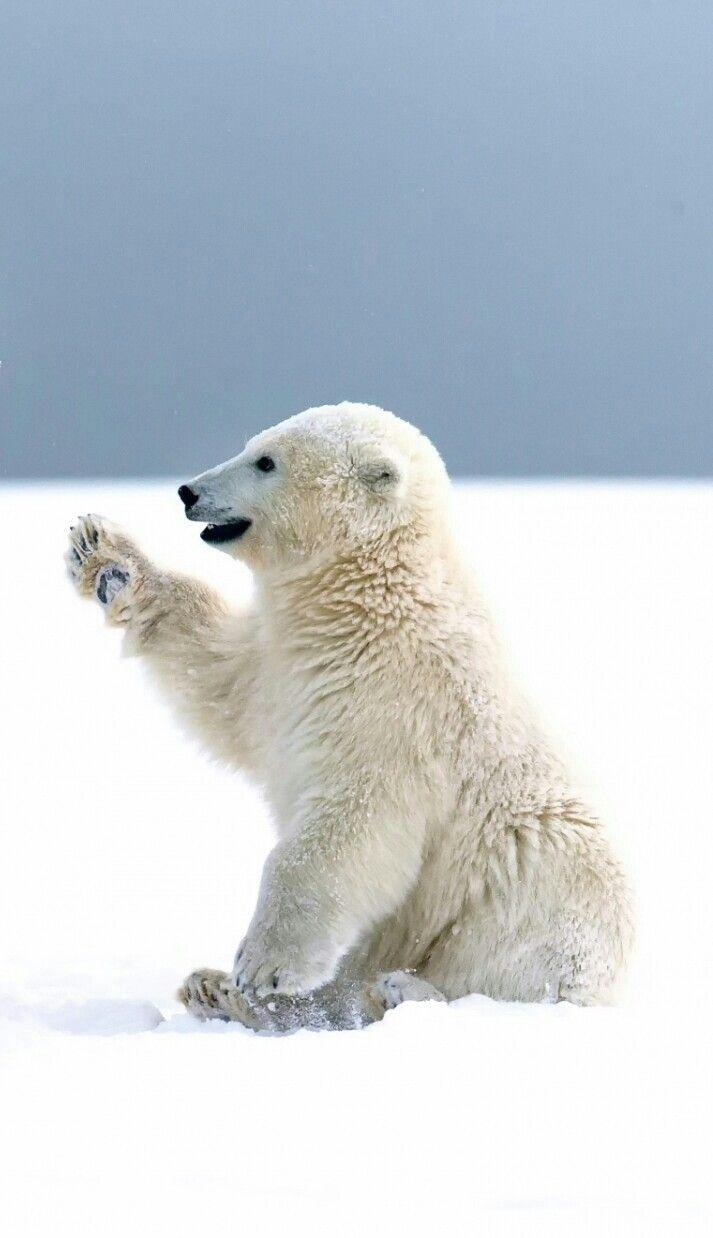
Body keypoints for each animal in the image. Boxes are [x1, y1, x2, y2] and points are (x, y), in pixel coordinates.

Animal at [65, 402, 634, 1032]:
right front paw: (104, 554)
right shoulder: (284, 664)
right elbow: (218, 680)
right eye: (252, 446)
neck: (368, 598)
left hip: (533, 889)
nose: (189, 491)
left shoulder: (396, 704)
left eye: (266, 462)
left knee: (511, 963)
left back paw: (398, 991)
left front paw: (263, 965)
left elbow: (351, 827)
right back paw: (216, 990)